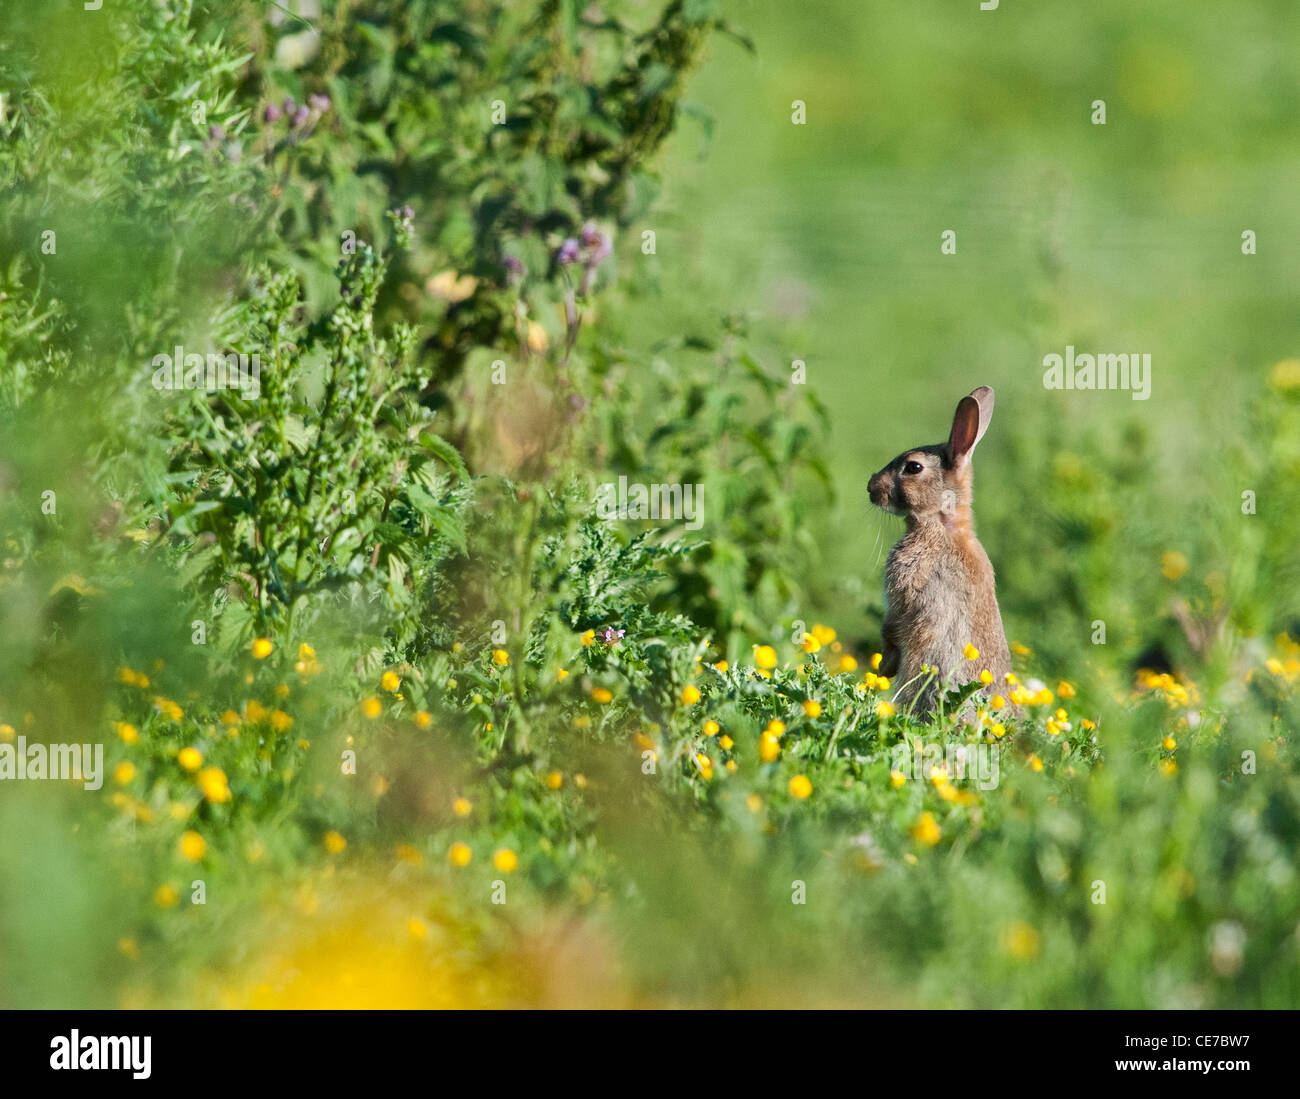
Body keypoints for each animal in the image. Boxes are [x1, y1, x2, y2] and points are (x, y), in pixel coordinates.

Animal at [866, 385, 1011, 717]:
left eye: (914, 467)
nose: (870, 487)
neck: (942, 526)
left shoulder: (907, 595)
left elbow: (892, 629)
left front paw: (883, 669)